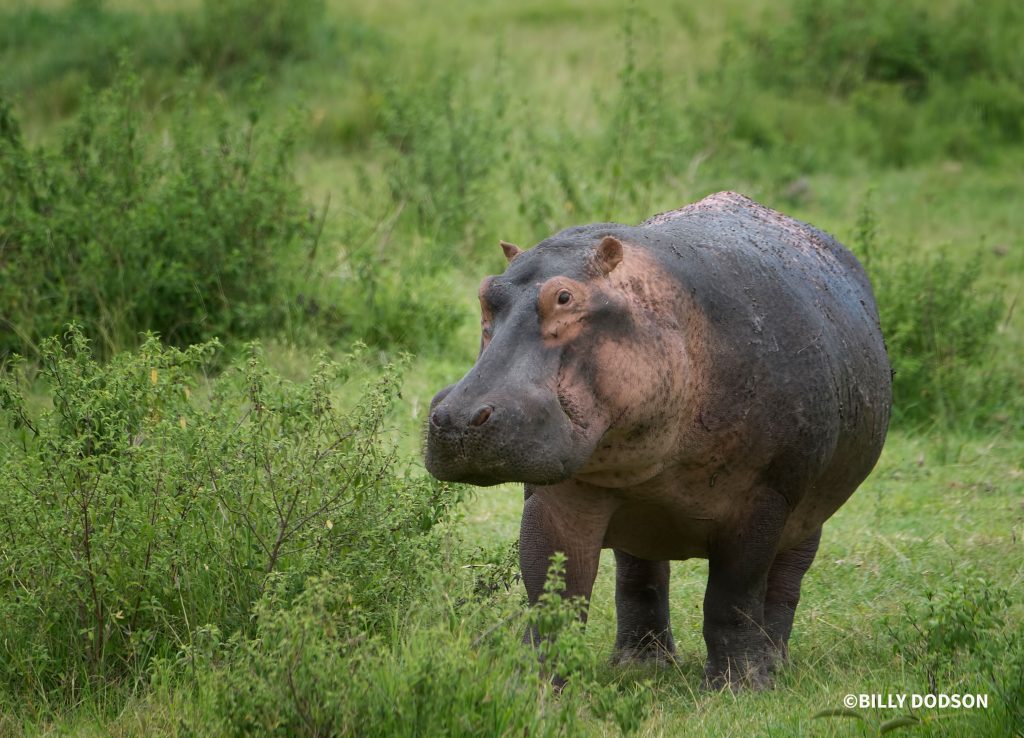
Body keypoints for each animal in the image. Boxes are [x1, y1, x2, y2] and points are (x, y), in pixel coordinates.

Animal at [425, 191, 891, 688]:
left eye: (565, 297)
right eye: (485, 293)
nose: (457, 418)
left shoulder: (762, 499)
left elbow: (734, 598)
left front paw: (737, 688)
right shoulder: (558, 495)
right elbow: (554, 596)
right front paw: (534, 686)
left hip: (808, 513)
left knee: (785, 584)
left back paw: (774, 663)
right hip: (640, 517)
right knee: (639, 578)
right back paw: (640, 663)